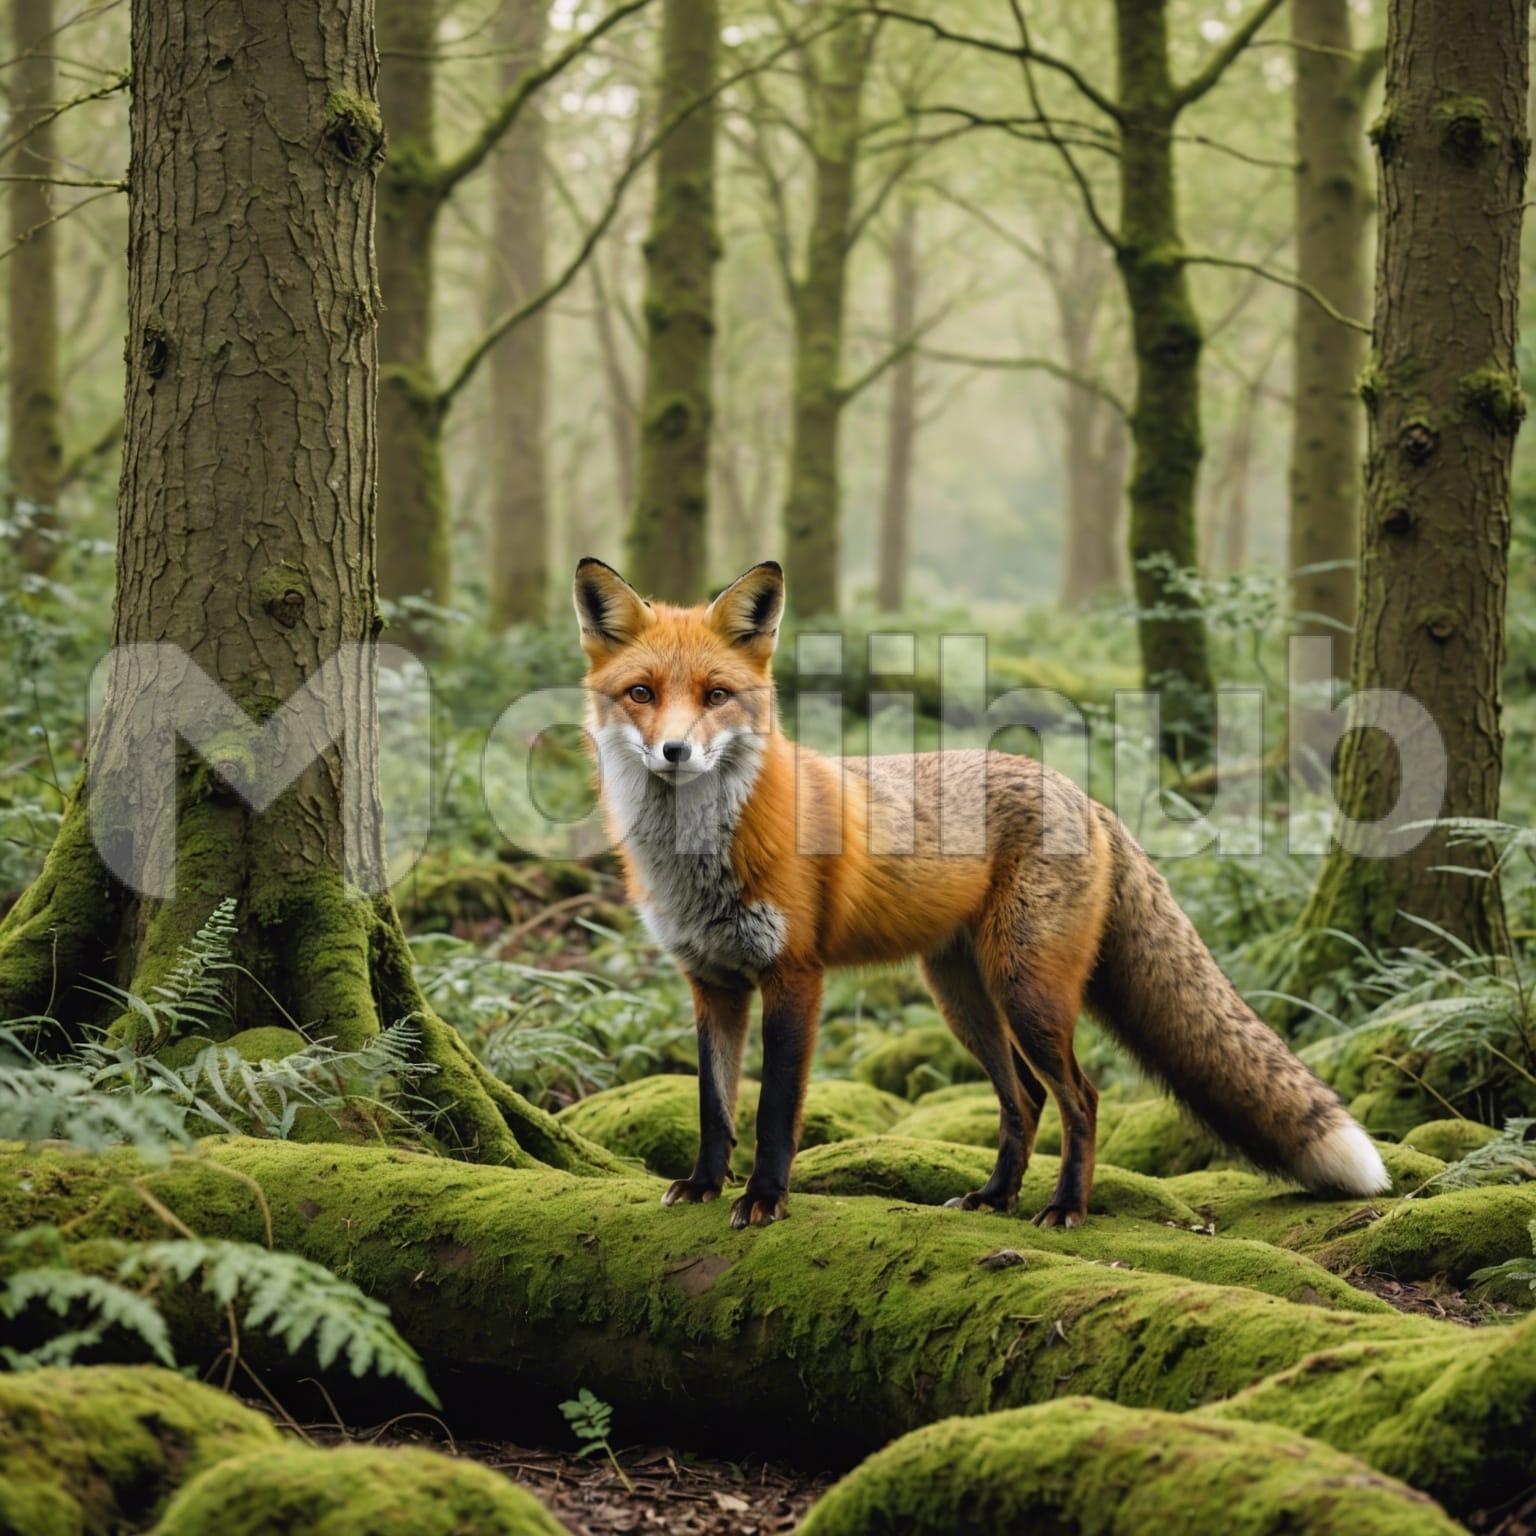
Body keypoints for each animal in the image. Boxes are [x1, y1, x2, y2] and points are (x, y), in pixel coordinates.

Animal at [574, 555, 1389, 1230]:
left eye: (717, 695)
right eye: (642, 693)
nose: (676, 752)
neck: (696, 860)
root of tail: (1086, 795)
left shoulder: (794, 976)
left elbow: (774, 1111)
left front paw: (765, 1197)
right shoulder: (711, 982)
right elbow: (713, 1105)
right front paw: (704, 1185)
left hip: (1027, 990)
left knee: (1080, 1098)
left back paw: (1066, 1208)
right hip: (963, 998)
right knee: (1023, 1100)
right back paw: (996, 1197)